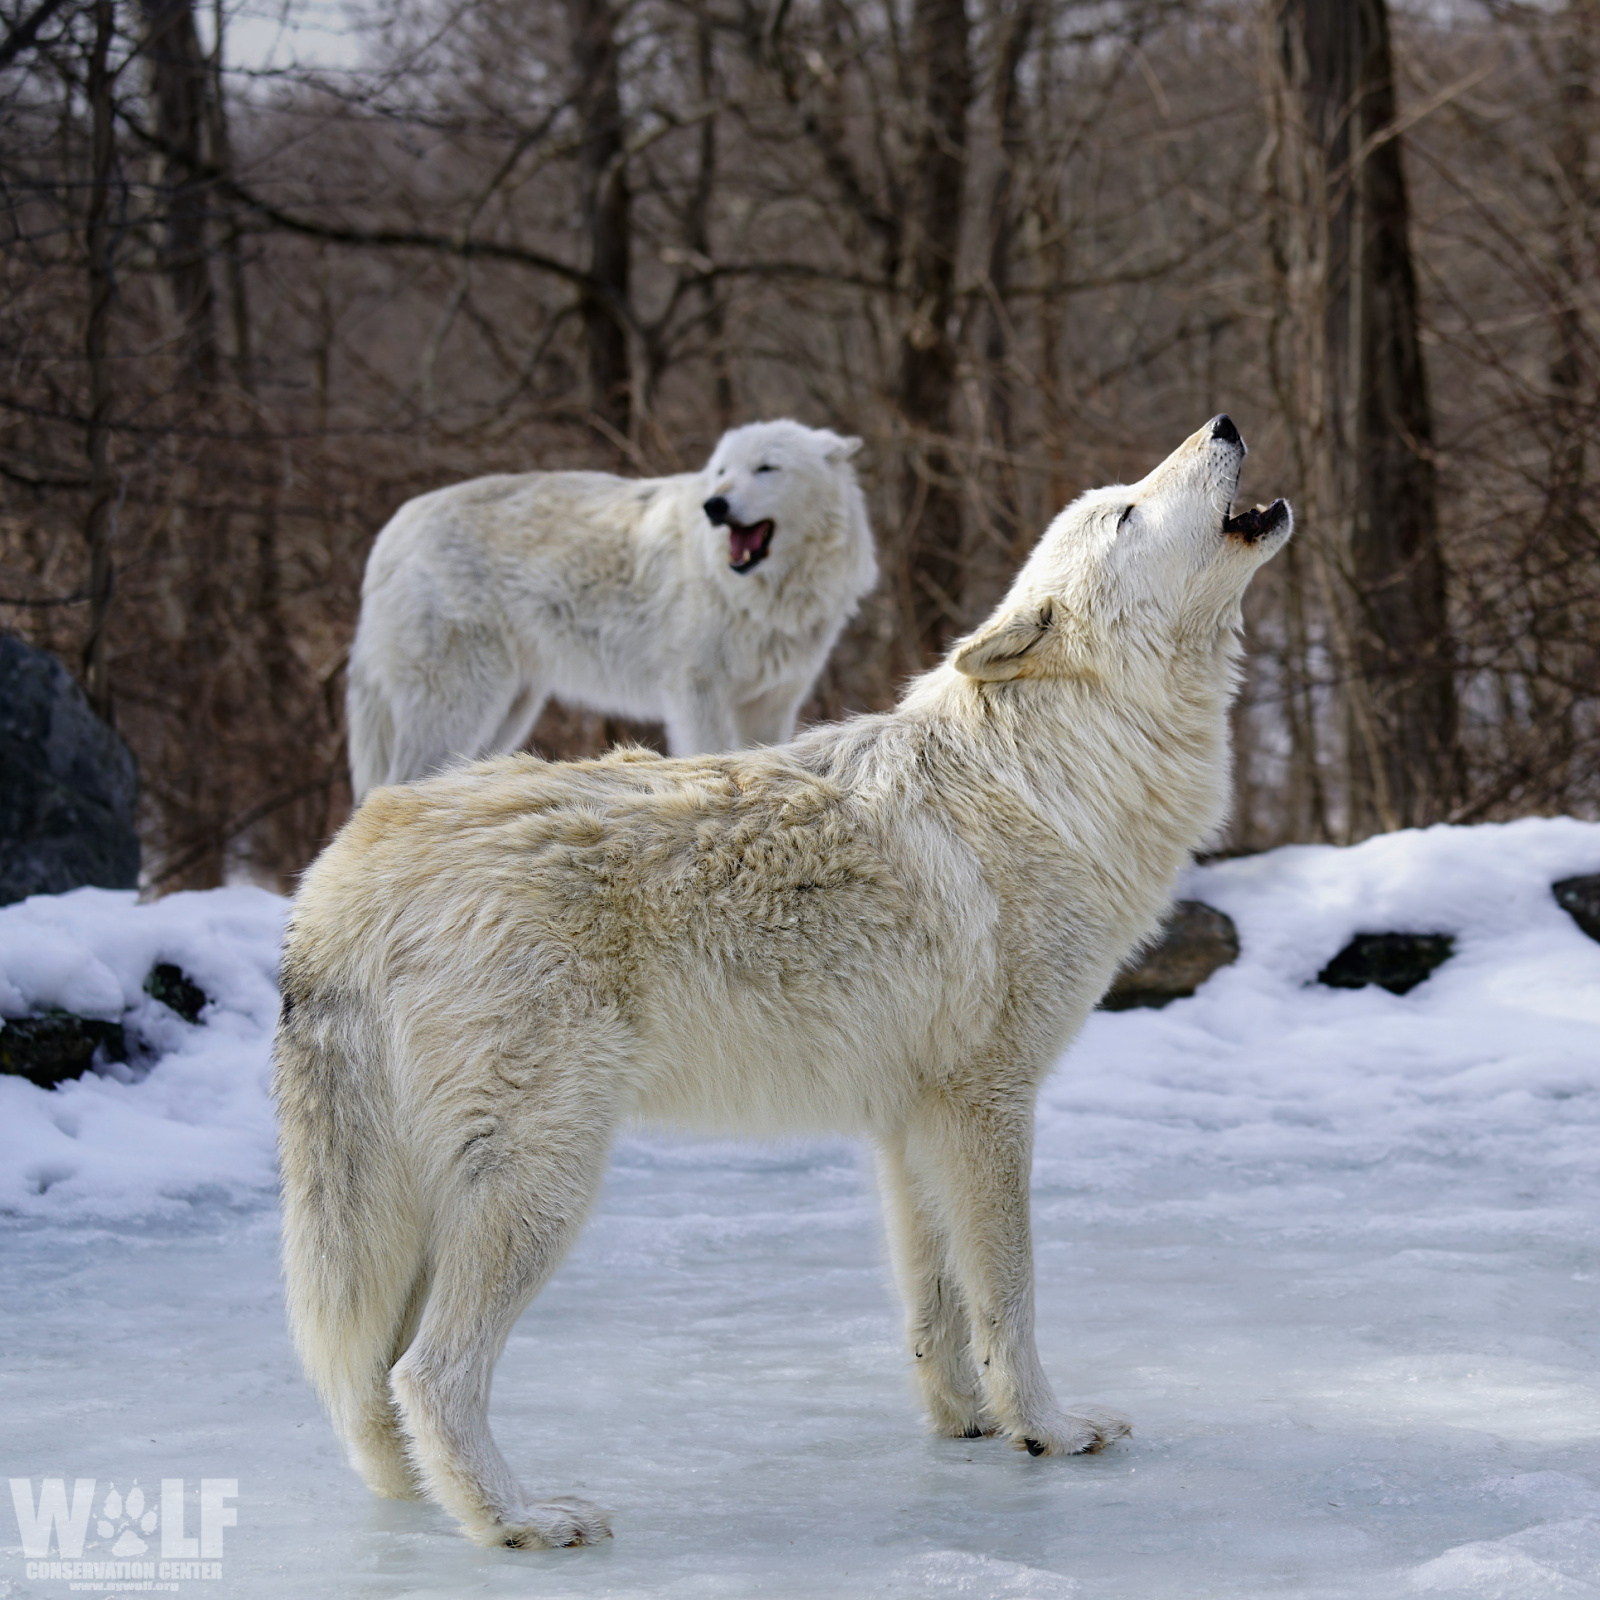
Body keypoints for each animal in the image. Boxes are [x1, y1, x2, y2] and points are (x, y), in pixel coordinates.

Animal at [344, 420, 878, 799]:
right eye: (722, 471)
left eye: (767, 468)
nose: (715, 506)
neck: (759, 594)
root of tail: (392, 531)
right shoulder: (697, 694)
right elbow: (713, 755)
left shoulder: (773, 702)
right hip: (458, 706)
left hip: (507, 712)